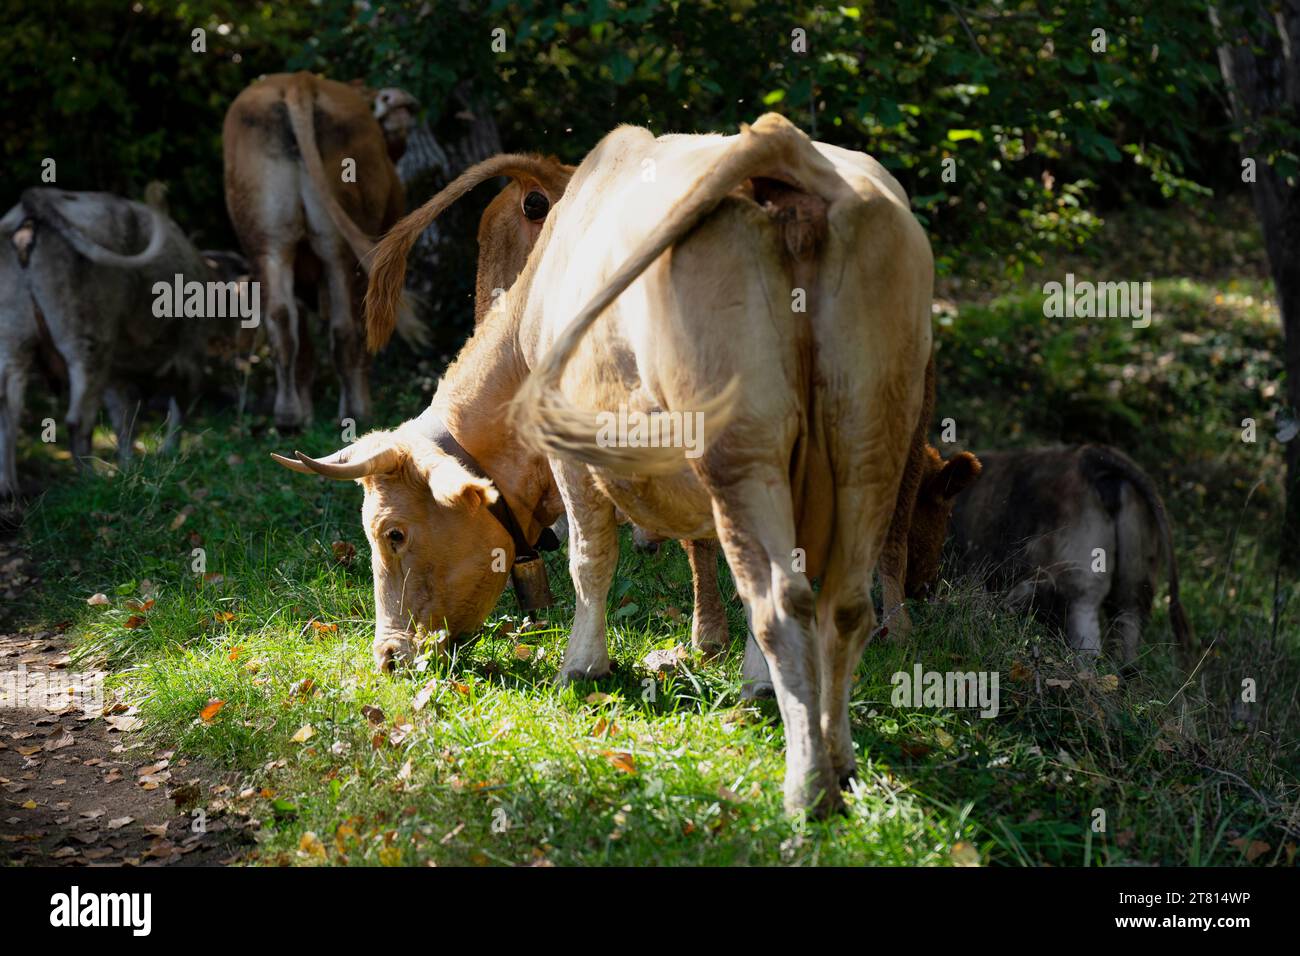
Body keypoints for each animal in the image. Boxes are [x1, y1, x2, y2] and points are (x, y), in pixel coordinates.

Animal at [0, 188, 247, 512]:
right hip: (89, 342)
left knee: (9, 411)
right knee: (76, 420)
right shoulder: (190, 356)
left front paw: (129, 468)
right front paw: (168, 454)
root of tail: (38, 198)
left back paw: (10, 491)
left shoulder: (116, 376)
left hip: (14, 340)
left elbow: (124, 421)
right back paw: (89, 479)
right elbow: (177, 410)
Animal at [223, 72, 420, 432]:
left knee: (281, 319)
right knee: (346, 327)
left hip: (267, 239)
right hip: (340, 249)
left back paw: (288, 416)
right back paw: (356, 410)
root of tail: (299, 80)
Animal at [275, 114, 935, 816]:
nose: (389, 658)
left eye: (393, 533)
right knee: (842, 605)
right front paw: (754, 681)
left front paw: (583, 663)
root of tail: (787, 149)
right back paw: (840, 762)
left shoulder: (571, 459)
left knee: (783, 604)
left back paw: (807, 785)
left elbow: (589, 557)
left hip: (741, 448)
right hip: (870, 439)